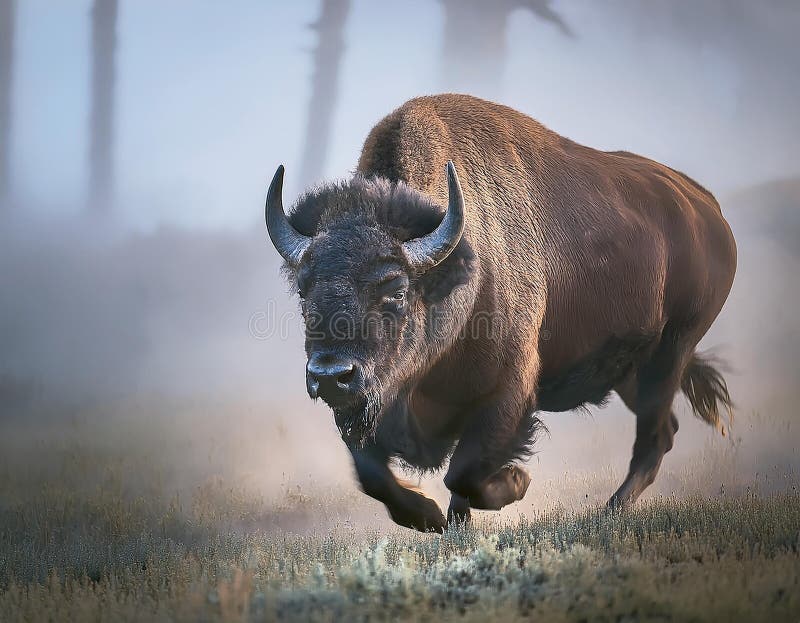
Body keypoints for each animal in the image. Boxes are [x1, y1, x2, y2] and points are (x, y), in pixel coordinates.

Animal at [265, 94, 736, 532]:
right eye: (303, 289)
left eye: (396, 289)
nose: (330, 375)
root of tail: (708, 210)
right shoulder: (365, 409)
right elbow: (372, 473)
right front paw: (431, 518)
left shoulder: (507, 391)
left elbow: (464, 472)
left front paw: (515, 484)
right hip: (630, 370)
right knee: (664, 430)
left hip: (672, 349)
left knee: (653, 438)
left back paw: (608, 512)